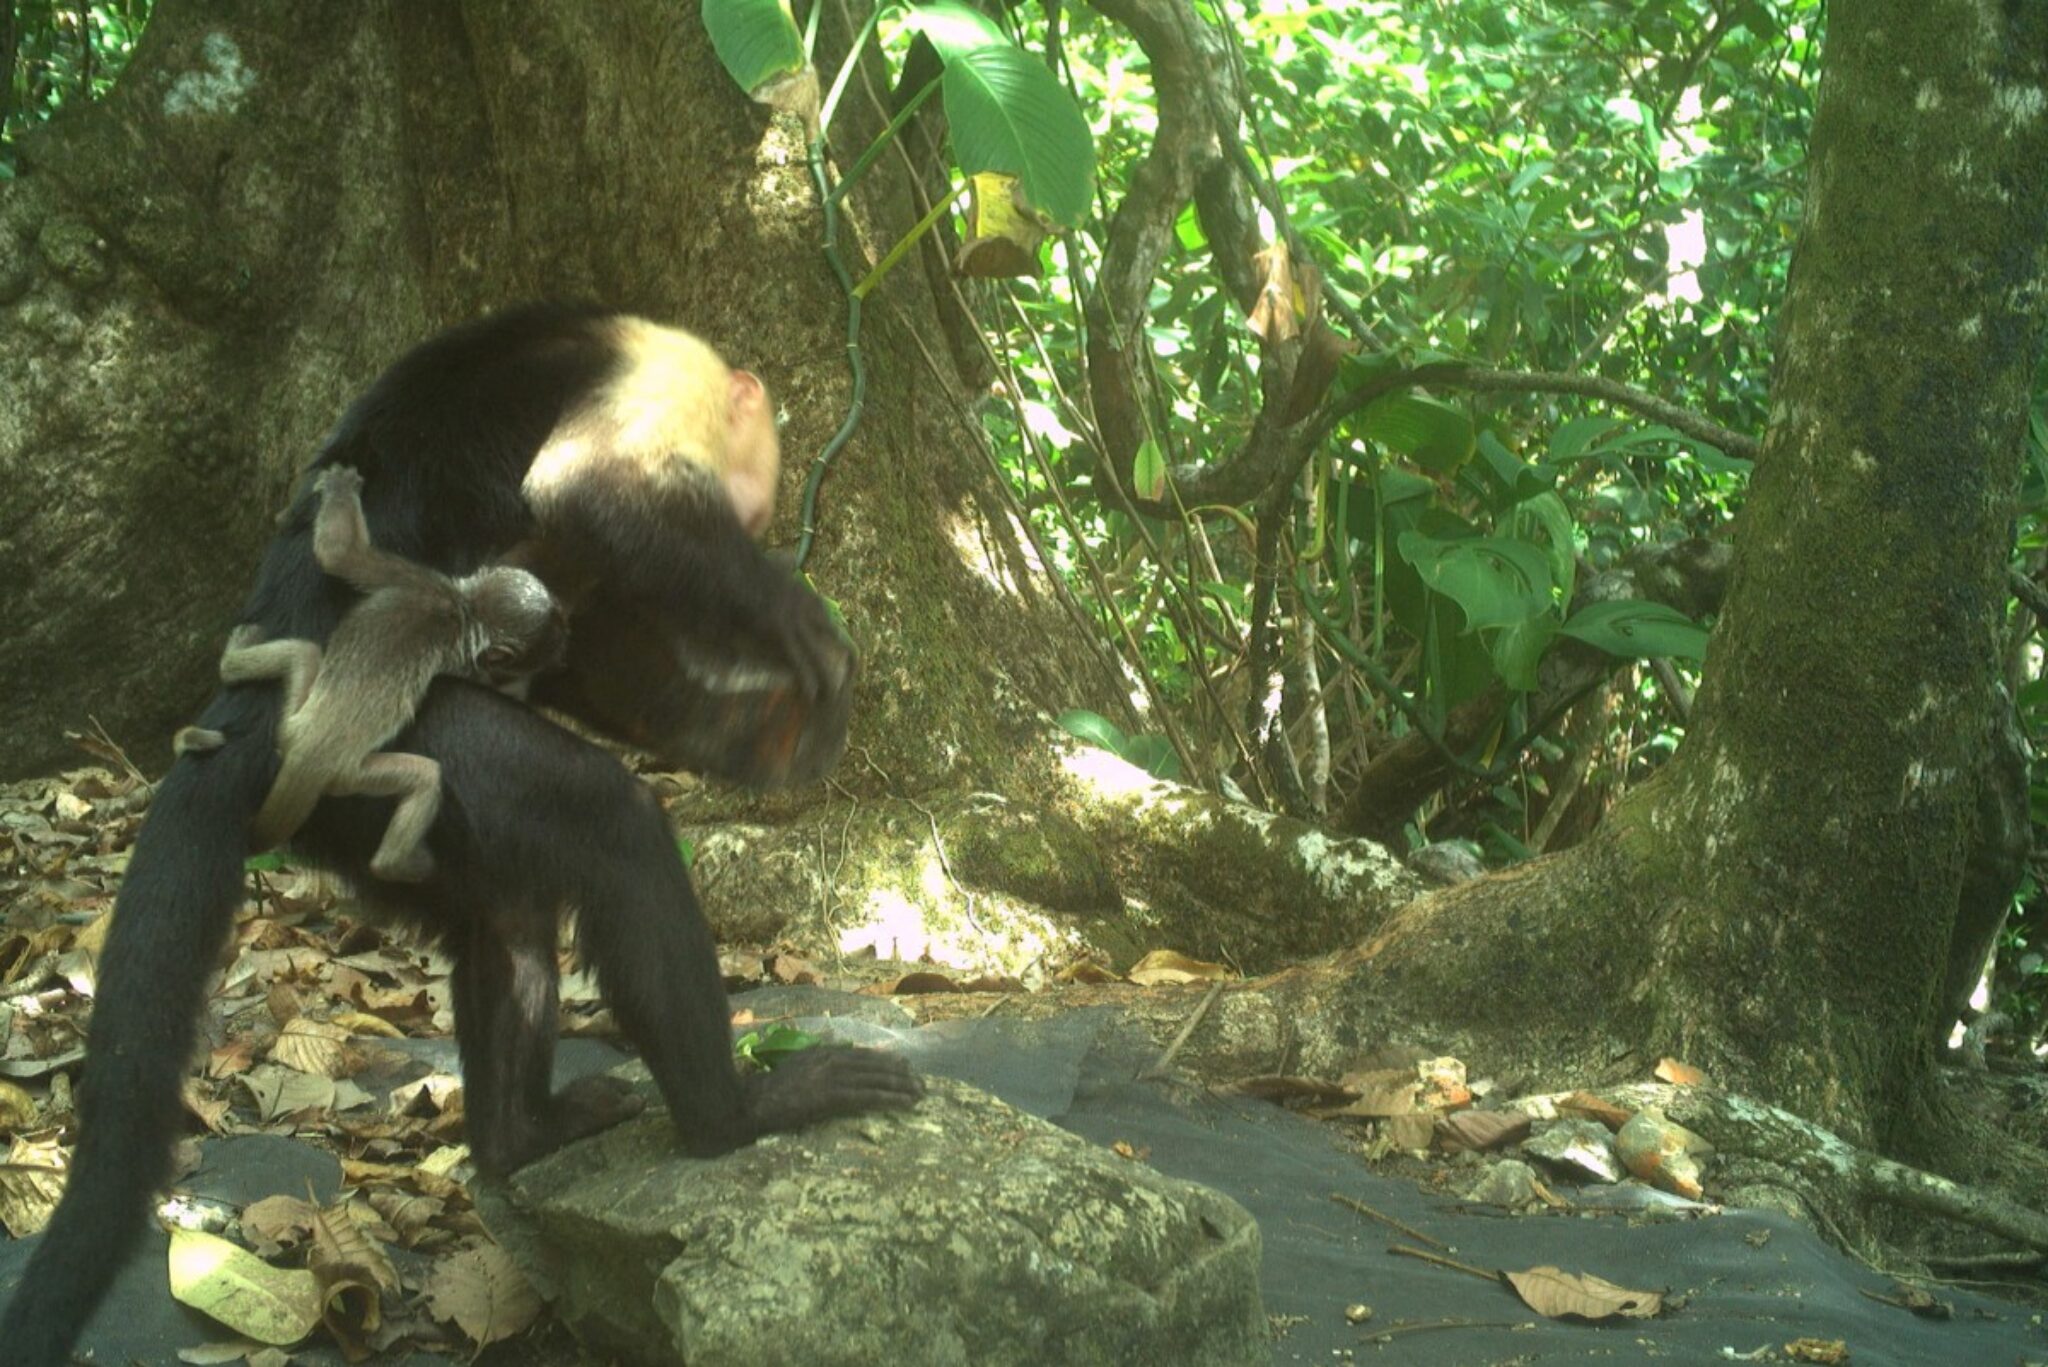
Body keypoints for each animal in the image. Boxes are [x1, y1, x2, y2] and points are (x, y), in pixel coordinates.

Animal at [0, 305, 921, 1366]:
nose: (761, 523)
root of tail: (244, 725)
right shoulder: (666, 375)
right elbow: (586, 494)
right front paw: (791, 619)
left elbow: (586, 646)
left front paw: (757, 729)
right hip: (378, 737)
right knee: (609, 823)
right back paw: (732, 1117)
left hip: (340, 809)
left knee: (508, 910)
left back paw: (521, 1135)